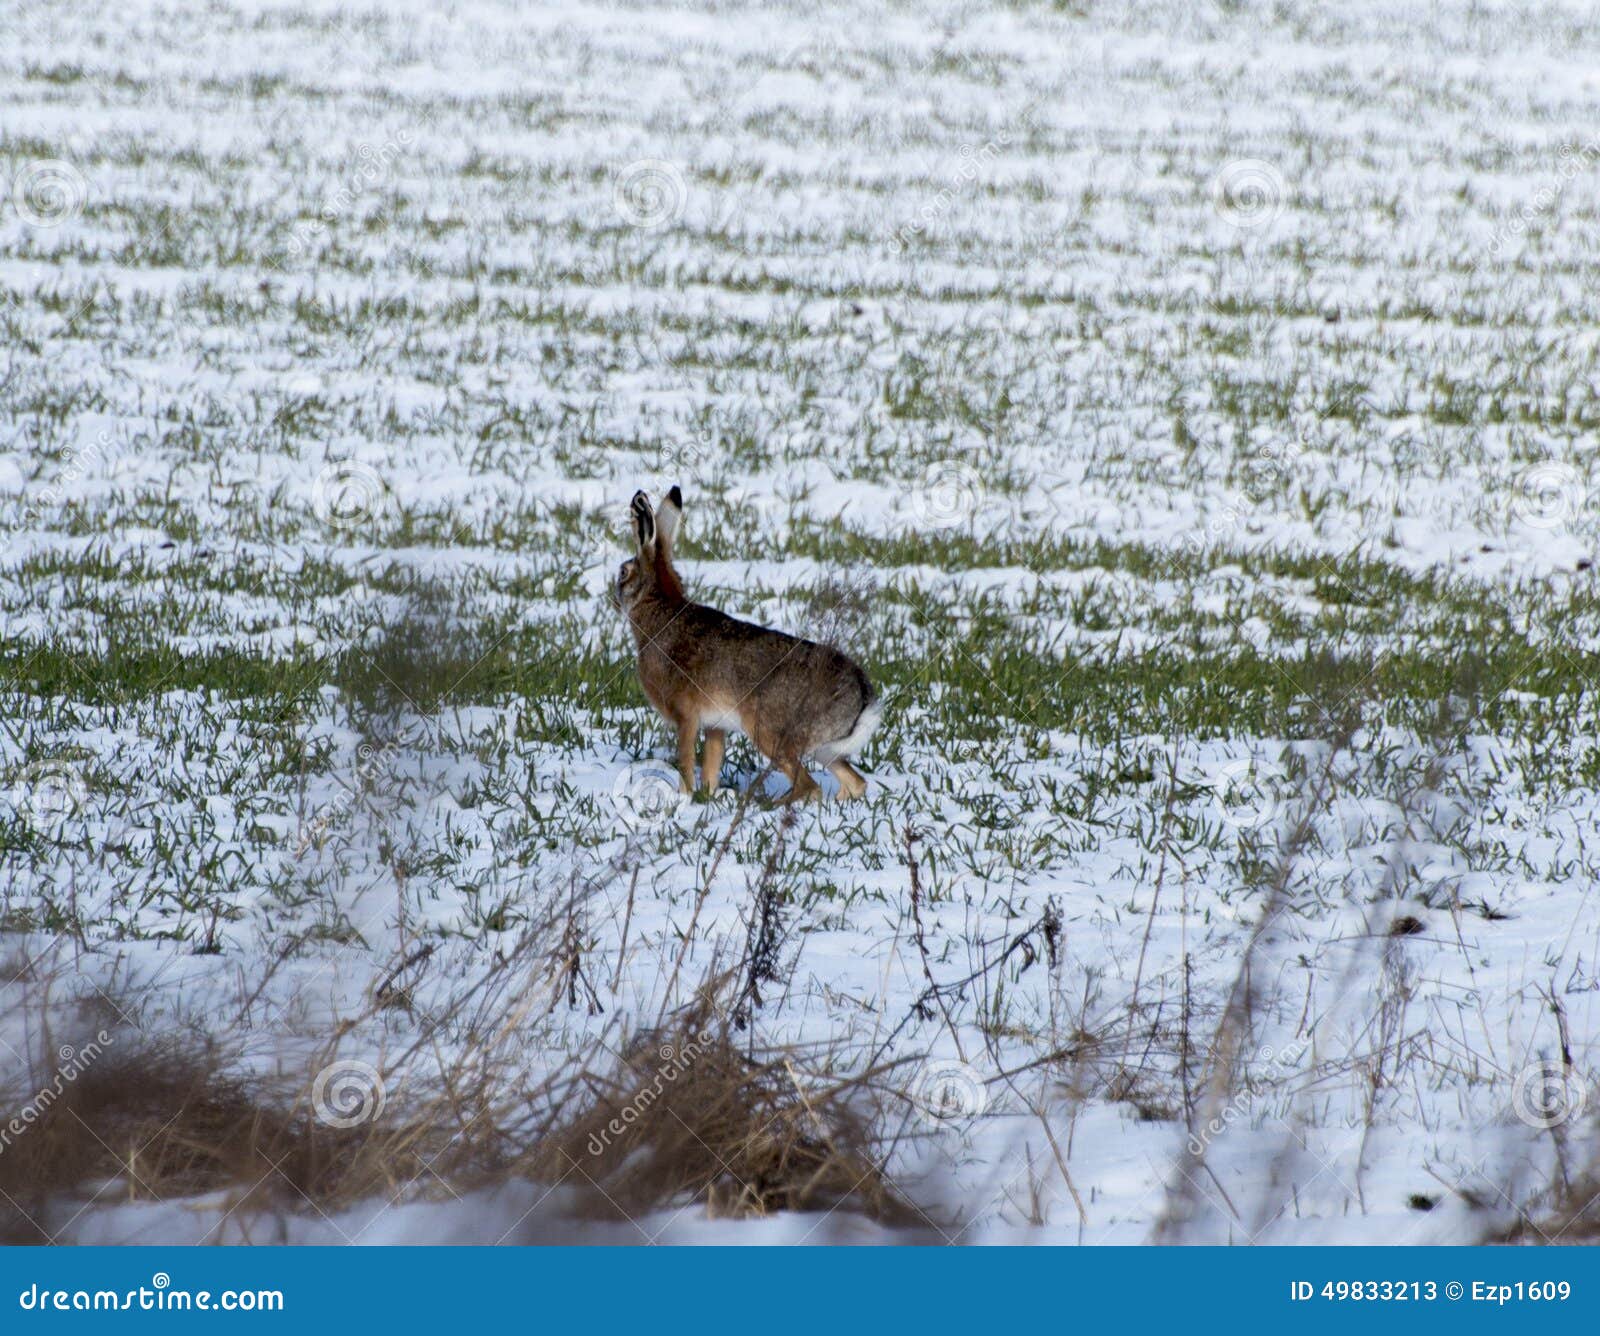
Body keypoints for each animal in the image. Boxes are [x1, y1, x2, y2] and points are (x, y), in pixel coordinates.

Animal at [614, 486, 880, 803]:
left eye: (623, 572)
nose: (614, 595)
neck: (659, 606)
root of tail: (862, 696)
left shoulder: (686, 716)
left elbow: (686, 760)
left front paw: (685, 796)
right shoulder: (715, 726)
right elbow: (711, 764)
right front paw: (707, 796)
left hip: (768, 731)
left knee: (810, 787)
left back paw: (765, 806)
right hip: (824, 749)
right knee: (854, 782)